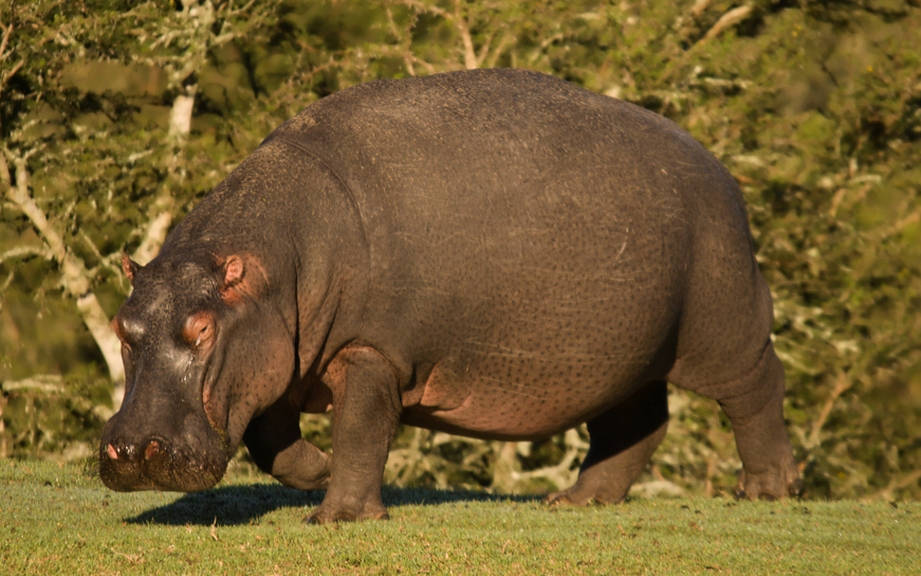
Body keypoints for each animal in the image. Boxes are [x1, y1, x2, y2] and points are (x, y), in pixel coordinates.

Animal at [99, 68, 799, 522]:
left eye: (202, 328)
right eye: (121, 326)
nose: (133, 449)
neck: (275, 263)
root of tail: (720, 169)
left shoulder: (370, 350)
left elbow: (360, 429)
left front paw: (337, 517)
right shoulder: (278, 357)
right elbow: (271, 443)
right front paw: (317, 474)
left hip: (724, 325)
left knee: (757, 390)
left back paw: (765, 492)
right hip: (624, 356)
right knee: (636, 423)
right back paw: (574, 502)